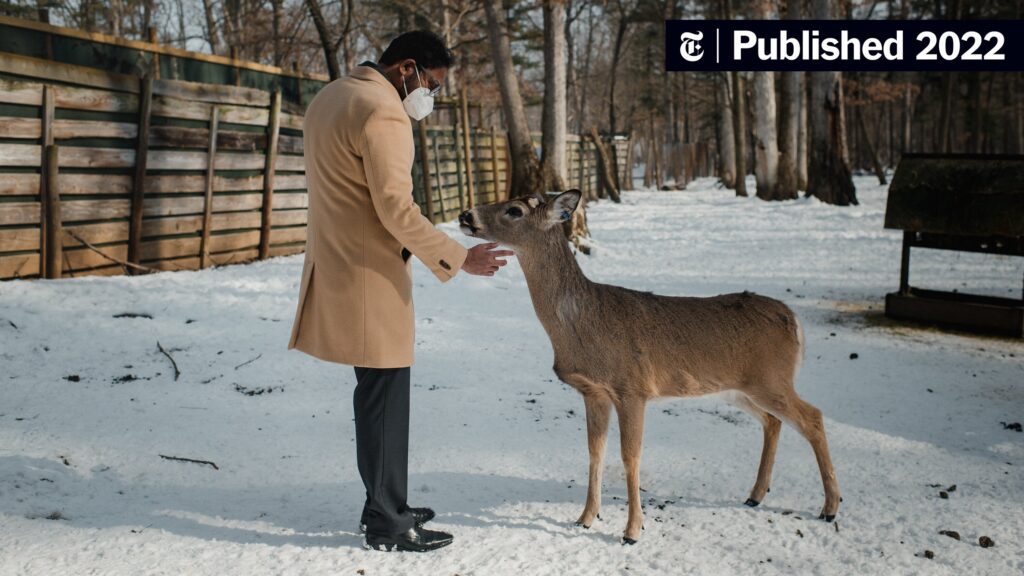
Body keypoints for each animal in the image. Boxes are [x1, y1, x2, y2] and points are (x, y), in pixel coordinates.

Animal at [458, 190, 840, 545]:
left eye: (514, 210)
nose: (465, 215)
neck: (583, 324)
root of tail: (794, 319)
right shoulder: (593, 392)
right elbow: (594, 452)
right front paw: (585, 518)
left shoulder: (633, 388)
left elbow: (630, 457)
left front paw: (631, 531)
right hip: (738, 388)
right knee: (773, 421)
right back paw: (755, 496)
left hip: (771, 379)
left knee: (813, 417)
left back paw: (830, 507)